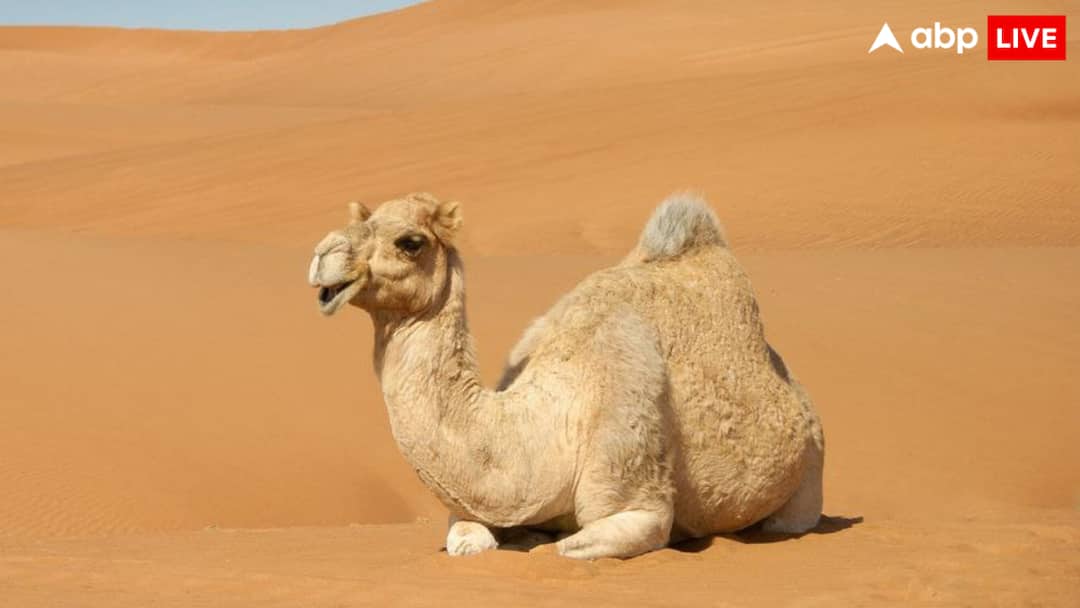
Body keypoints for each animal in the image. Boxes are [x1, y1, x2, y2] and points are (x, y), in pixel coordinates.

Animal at [307, 192, 824, 560]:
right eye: (364, 218)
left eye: (410, 242)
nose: (322, 254)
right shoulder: (475, 505)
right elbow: (466, 540)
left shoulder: (636, 505)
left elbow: (566, 548)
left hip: (810, 471)